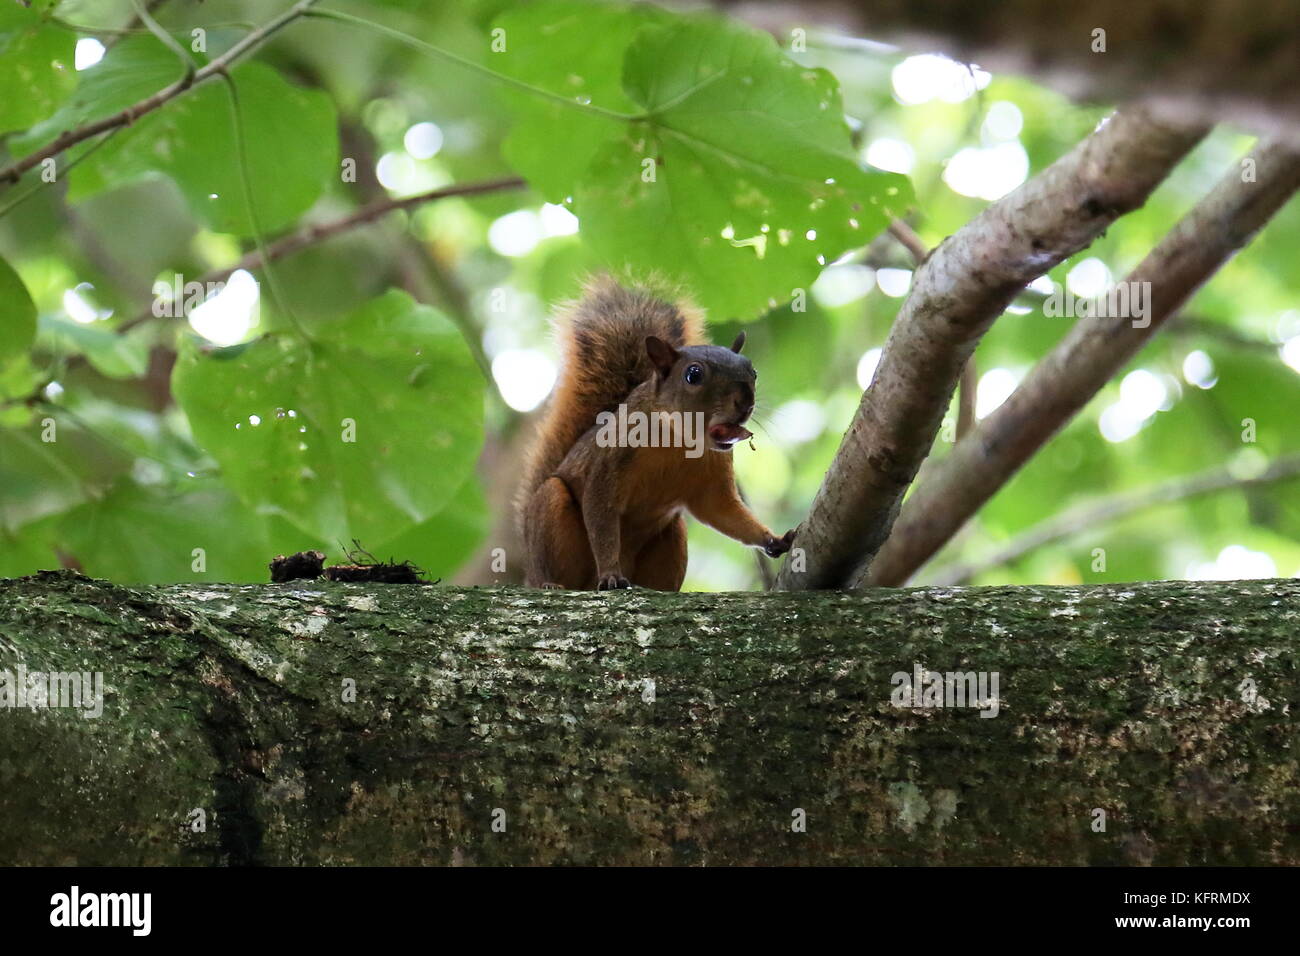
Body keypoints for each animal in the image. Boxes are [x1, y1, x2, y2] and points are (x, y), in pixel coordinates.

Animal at [517, 276, 795, 591]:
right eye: (693, 375)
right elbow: (601, 514)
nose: (746, 402)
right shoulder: (609, 462)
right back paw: (551, 583)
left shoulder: (714, 481)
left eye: (753, 371)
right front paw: (610, 574)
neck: (679, 441)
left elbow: (724, 512)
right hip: (550, 511)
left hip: (672, 535)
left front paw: (773, 539)